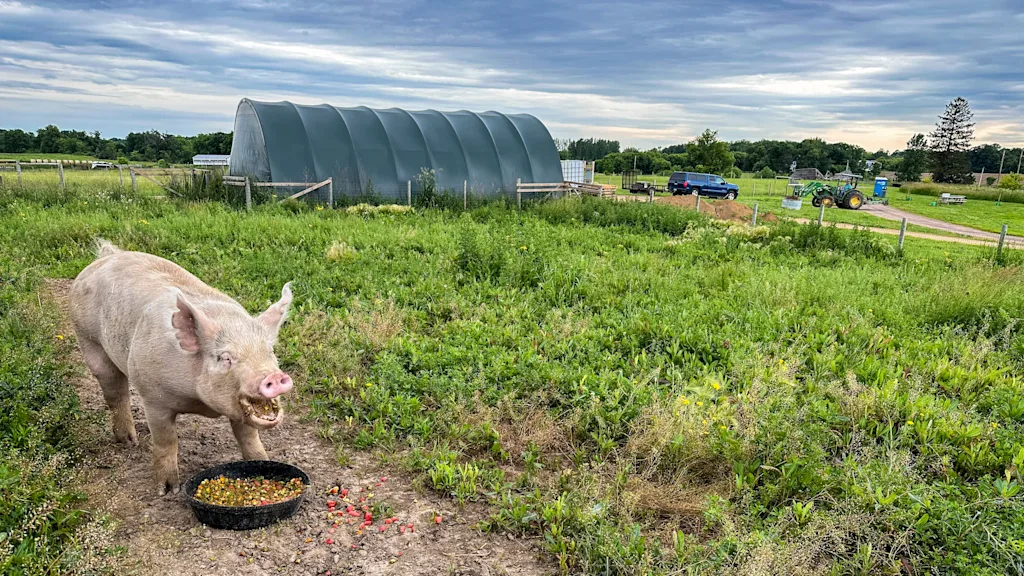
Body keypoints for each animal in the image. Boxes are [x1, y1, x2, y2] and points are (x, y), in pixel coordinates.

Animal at [69, 239, 294, 495]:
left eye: (270, 351)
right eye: (225, 358)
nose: (273, 376)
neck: (199, 402)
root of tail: (105, 257)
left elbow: (248, 436)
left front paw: (263, 461)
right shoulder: (153, 397)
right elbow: (166, 440)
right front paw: (168, 490)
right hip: (86, 337)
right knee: (115, 391)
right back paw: (129, 441)